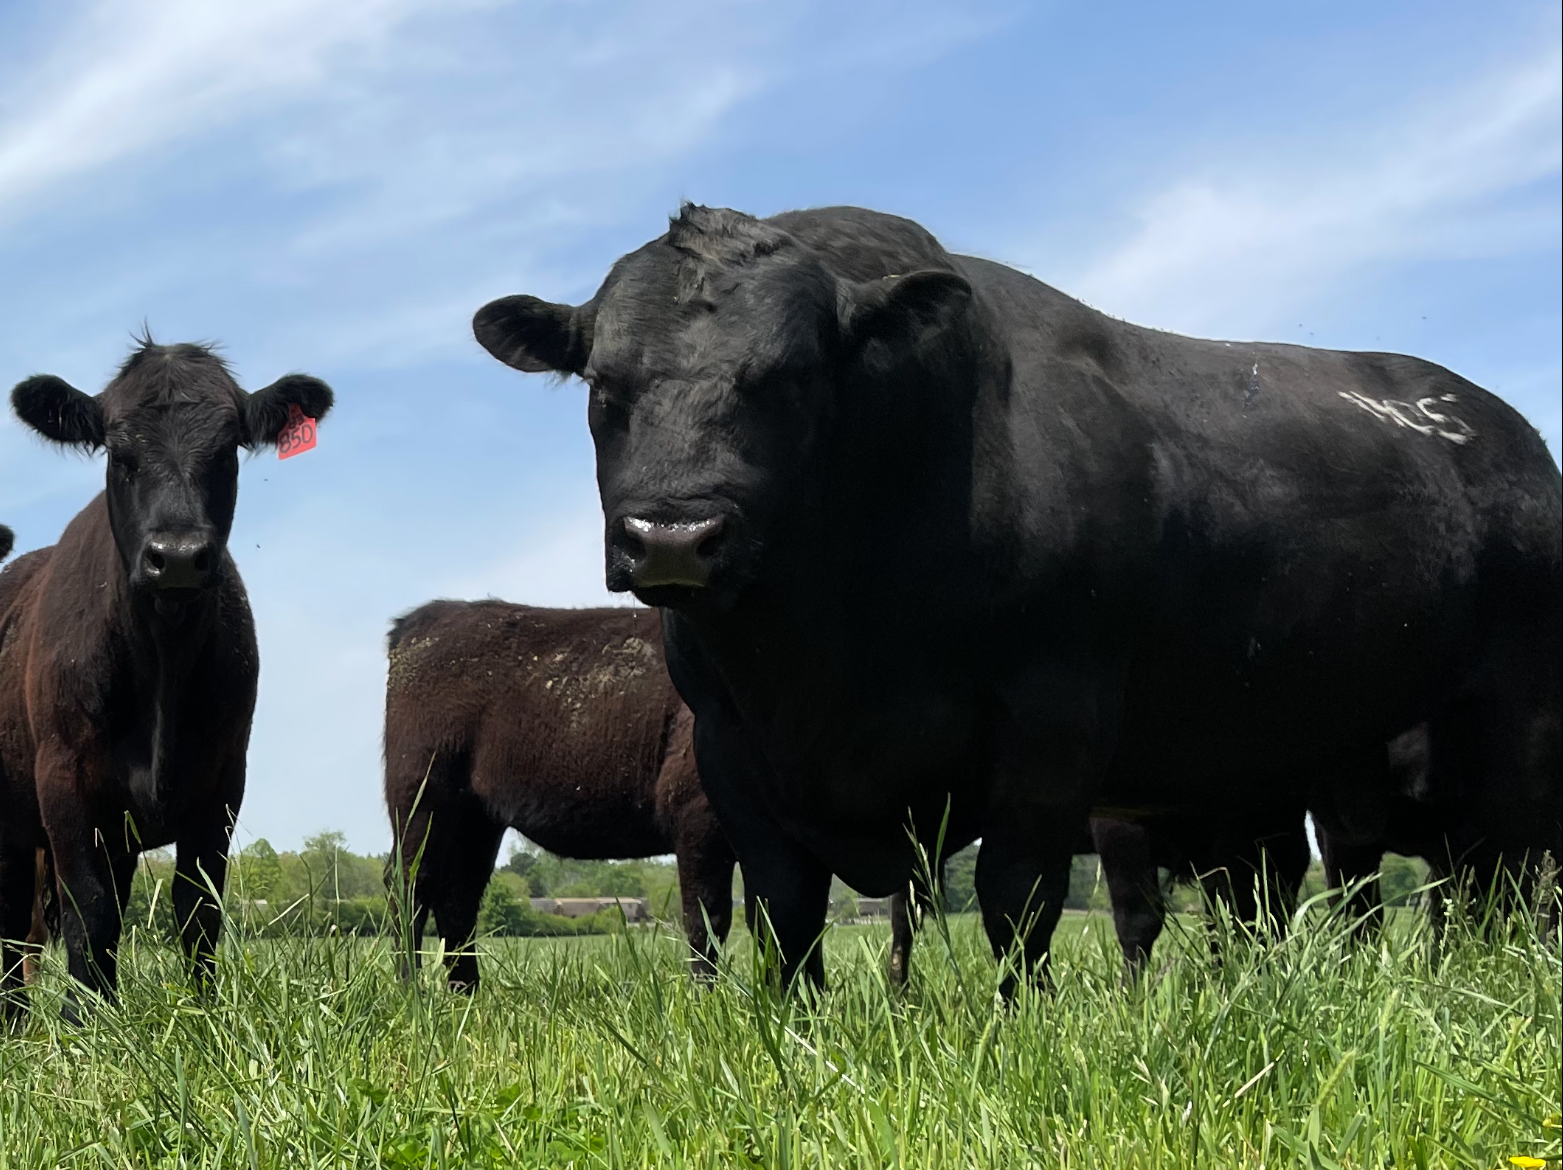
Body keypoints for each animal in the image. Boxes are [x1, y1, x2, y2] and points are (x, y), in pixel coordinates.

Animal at [0, 339, 332, 1017]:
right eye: (119, 453)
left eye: (227, 451)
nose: (177, 557)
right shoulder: (63, 781)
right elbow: (88, 907)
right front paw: (83, 1024)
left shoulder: (224, 780)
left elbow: (197, 907)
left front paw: (202, 1013)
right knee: (16, 923)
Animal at [384, 600, 735, 990]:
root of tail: (428, 618)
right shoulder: (697, 816)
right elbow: (706, 917)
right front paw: (706, 995)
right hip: (422, 802)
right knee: (410, 885)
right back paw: (410, 987)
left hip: (476, 820)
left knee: (458, 896)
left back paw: (467, 991)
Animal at [474, 203, 1562, 993]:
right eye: (602, 384)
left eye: (788, 376)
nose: (673, 536)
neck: (822, 648)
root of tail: (1499, 426)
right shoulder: (732, 746)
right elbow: (784, 909)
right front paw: (791, 1038)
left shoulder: (1053, 722)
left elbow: (1018, 897)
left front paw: (1017, 1022)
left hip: (1510, 713)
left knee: (1503, 879)